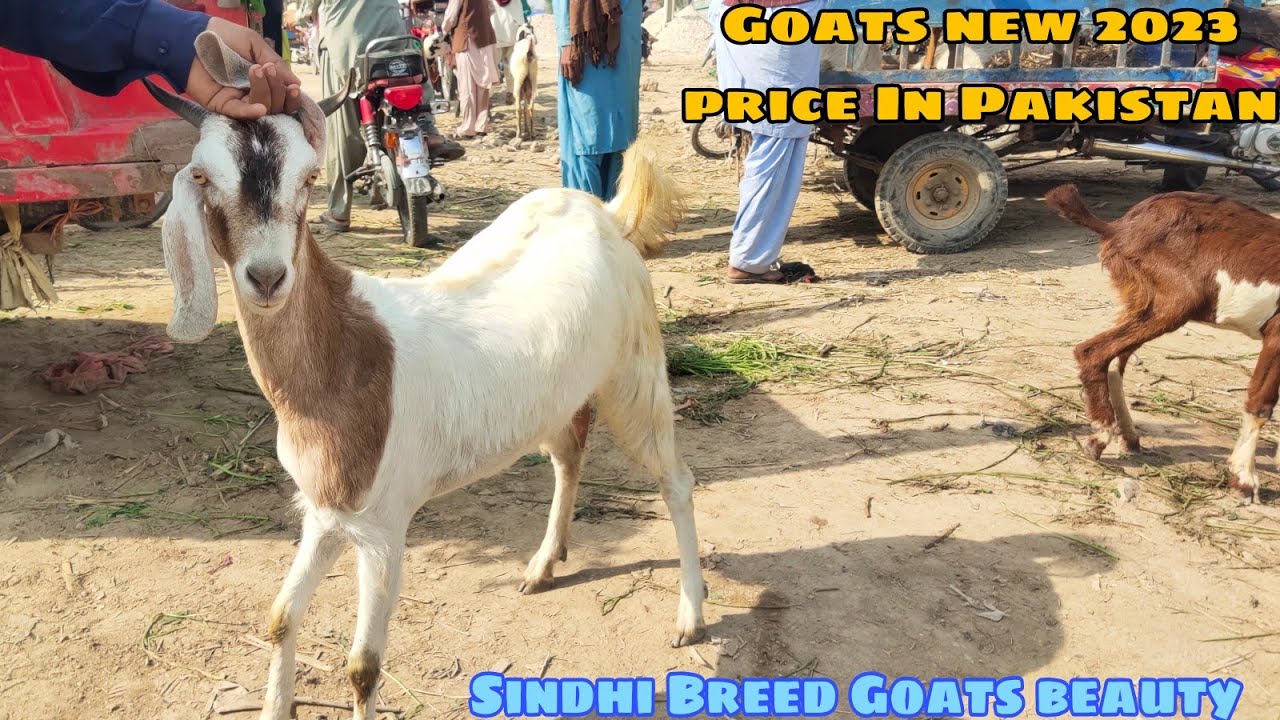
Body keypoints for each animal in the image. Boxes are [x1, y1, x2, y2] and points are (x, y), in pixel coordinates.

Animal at [146, 31, 706, 720]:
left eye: (309, 177)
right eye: (202, 176)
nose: (268, 277)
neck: (345, 364)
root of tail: (606, 214)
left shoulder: (384, 524)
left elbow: (362, 667)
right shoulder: (324, 511)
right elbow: (280, 617)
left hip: (635, 372)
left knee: (676, 479)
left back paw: (690, 617)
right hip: (556, 398)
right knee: (569, 456)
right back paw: (544, 564)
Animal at [1047, 183, 1280, 504]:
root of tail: (1120, 227)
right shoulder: (1276, 335)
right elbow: (1261, 403)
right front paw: (1244, 480)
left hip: (1142, 299)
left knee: (1116, 361)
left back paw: (1128, 437)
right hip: (1175, 299)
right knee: (1094, 351)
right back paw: (1100, 437)